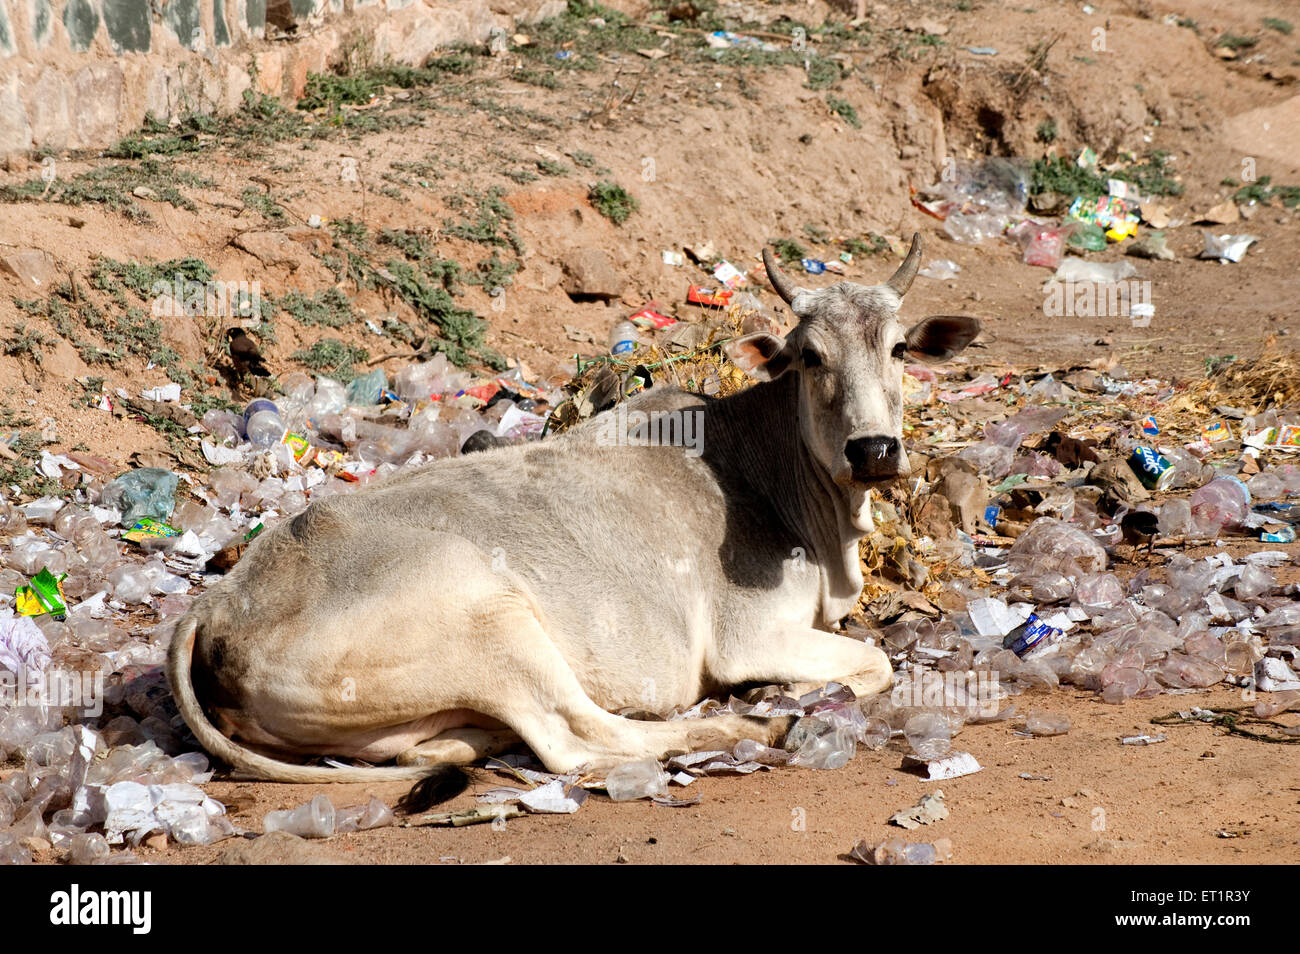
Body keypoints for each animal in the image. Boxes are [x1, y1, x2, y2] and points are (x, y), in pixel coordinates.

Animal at [167, 233, 980, 785]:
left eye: (899, 349)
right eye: (810, 357)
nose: (874, 450)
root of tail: (216, 605)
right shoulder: (749, 636)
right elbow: (875, 663)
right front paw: (788, 692)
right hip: (492, 620)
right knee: (576, 736)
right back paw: (753, 724)